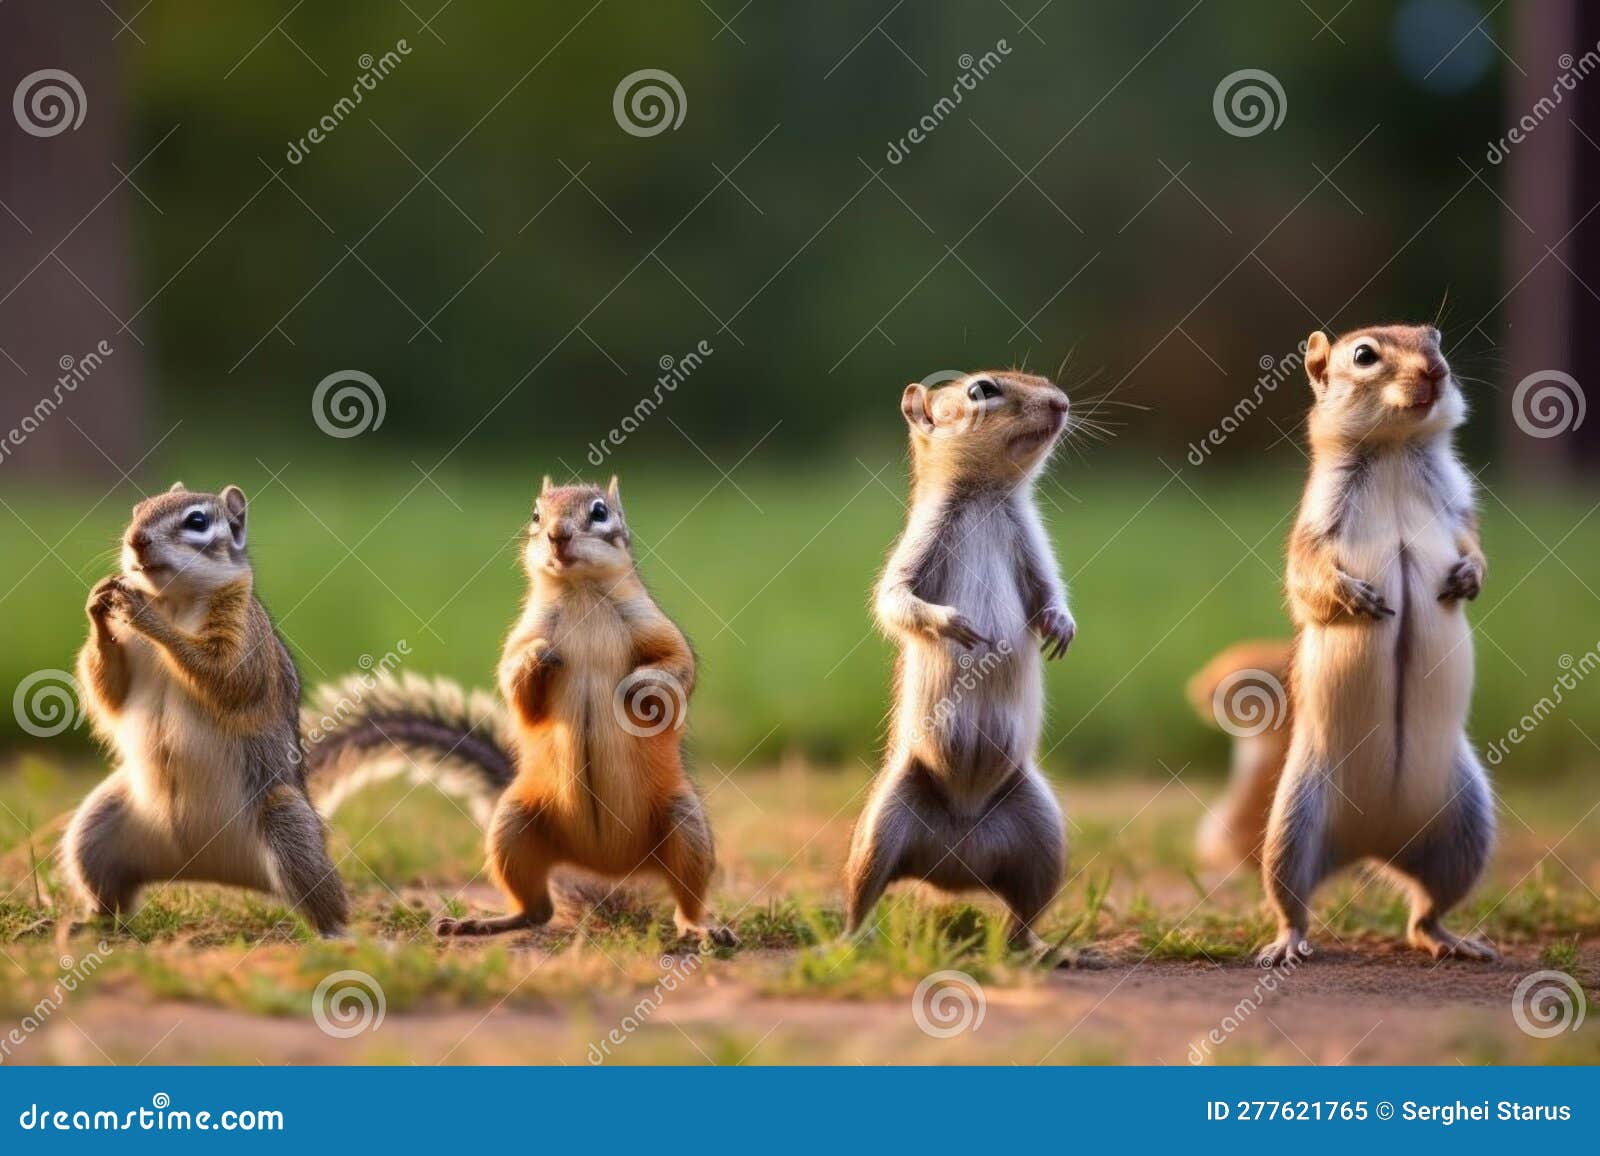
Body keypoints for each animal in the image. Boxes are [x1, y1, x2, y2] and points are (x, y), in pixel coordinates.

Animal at [60, 483, 349, 935]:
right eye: (137, 510)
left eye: (197, 521)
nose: (135, 540)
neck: (175, 602)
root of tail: (201, 867)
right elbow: (109, 693)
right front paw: (99, 603)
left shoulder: (243, 638)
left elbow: (225, 676)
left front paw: (143, 613)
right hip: (93, 832)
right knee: (111, 895)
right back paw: (92, 923)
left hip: (287, 824)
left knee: (327, 901)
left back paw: (335, 934)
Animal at [302, 477, 735, 948]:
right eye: (535, 515)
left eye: (599, 512)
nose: (557, 535)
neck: (581, 593)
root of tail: (606, 870)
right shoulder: (524, 633)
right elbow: (515, 686)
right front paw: (538, 658)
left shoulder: (656, 627)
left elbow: (679, 668)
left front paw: (645, 682)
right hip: (512, 828)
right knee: (537, 910)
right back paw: (482, 924)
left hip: (686, 828)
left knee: (684, 901)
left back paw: (701, 928)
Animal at [845, 371, 1077, 956]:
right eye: (982, 390)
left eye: (1045, 381)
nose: (1062, 403)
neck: (987, 496)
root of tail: (954, 863)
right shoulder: (919, 542)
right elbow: (893, 598)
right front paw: (953, 625)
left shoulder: (1034, 546)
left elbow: (1050, 592)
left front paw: (1062, 627)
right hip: (879, 829)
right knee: (861, 899)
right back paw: (846, 943)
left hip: (1045, 839)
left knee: (1022, 920)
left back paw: (1046, 951)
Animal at [1260, 324, 1495, 965]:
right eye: (1364, 355)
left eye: (1435, 336)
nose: (1436, 371)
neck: (1393, 450)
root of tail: (1373, 844)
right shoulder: (1313, 530)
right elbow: (1306, 582)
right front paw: (1355, 598)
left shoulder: (1462, 514)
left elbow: (1474, 548)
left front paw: (1467, 578)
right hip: (1292, 830)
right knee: (1293, 904)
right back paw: (1286, 944)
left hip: (1468, 833)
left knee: (1428, 909)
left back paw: (1451, 940)